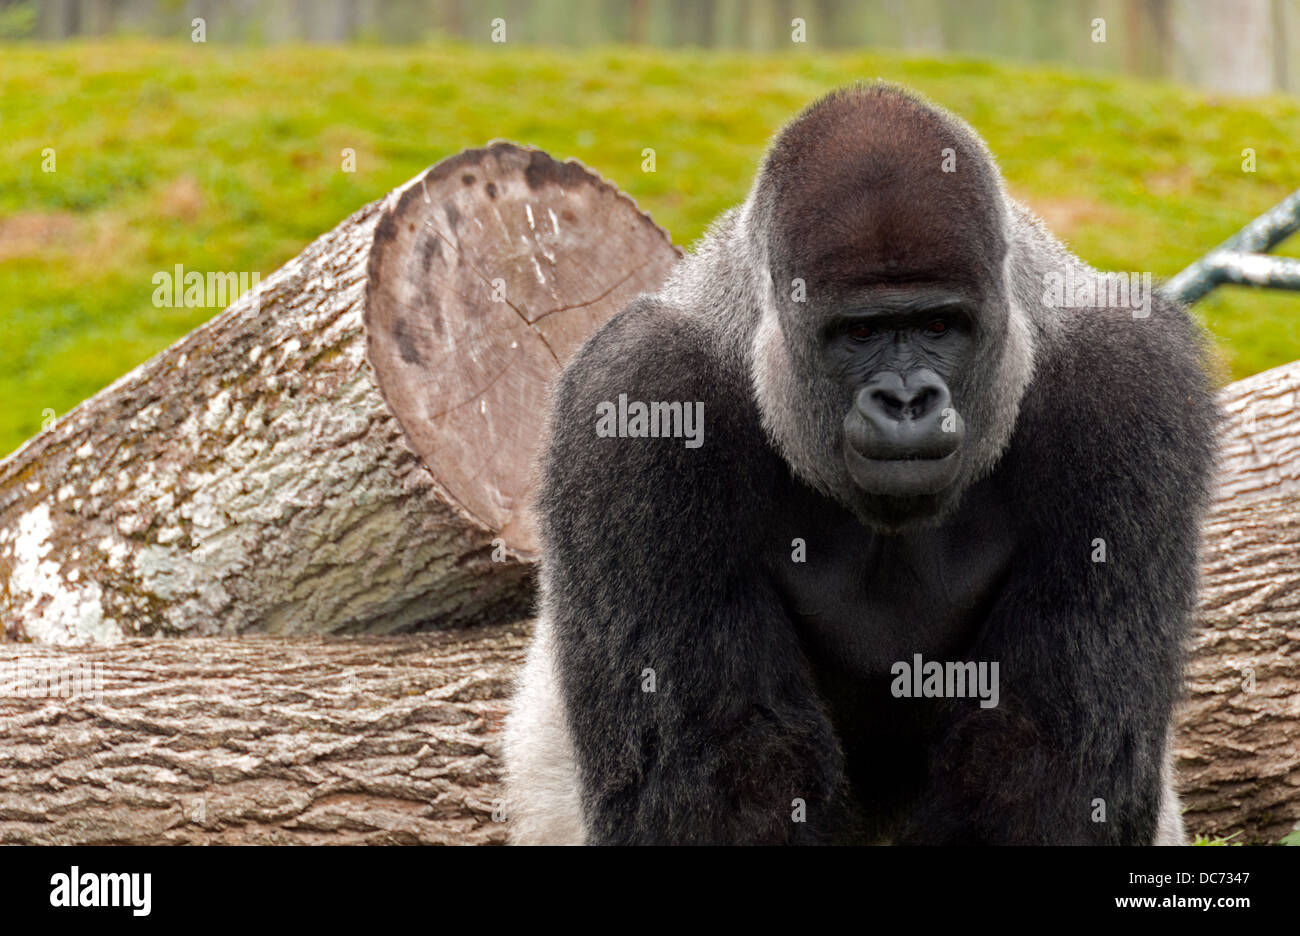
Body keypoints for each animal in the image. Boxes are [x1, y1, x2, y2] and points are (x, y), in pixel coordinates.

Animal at [503, 83, 1216, 845]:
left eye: (938, 326)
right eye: (862, 332)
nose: (905, 400)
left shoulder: (1130, 380)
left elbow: (1049, 765)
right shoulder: (638, 393)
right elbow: (719, 777)